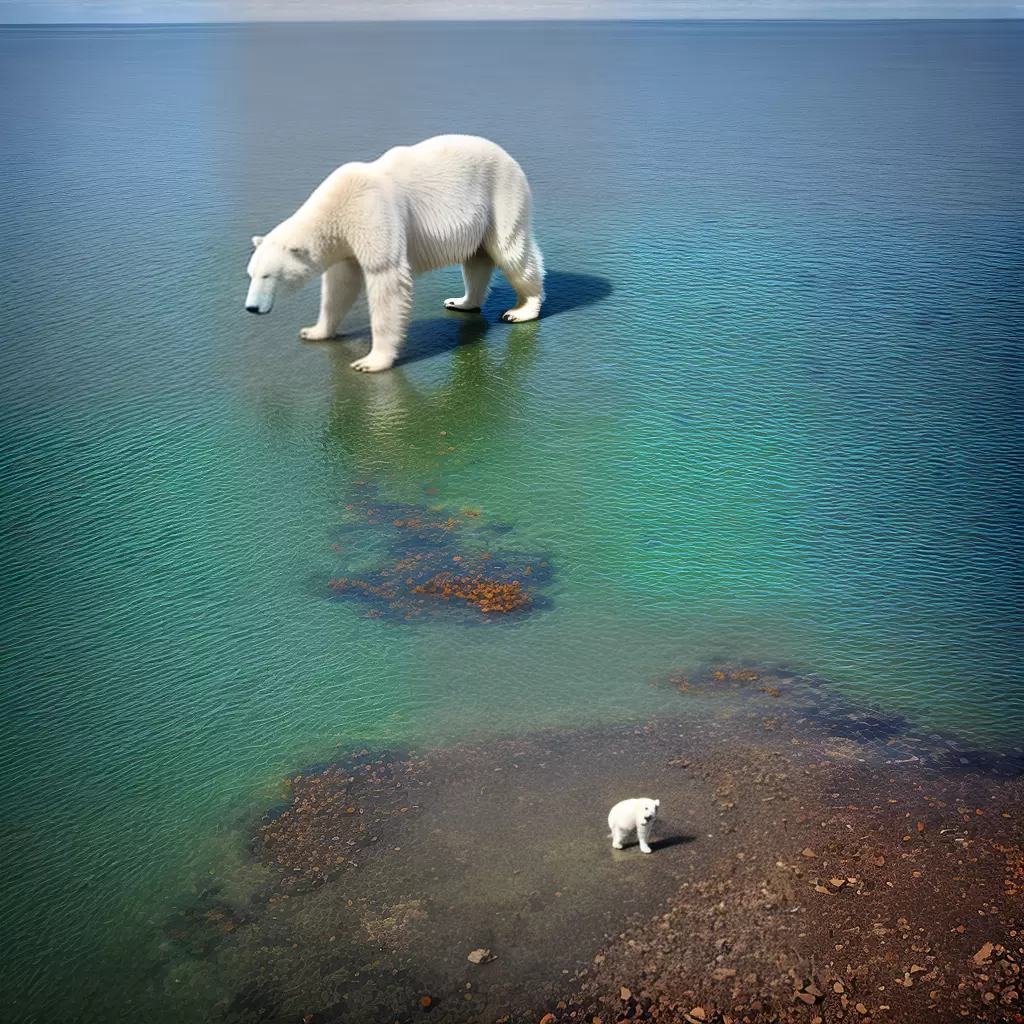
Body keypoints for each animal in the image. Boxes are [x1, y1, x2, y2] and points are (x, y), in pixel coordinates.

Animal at [245, 134, 545, 373]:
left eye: (268, 276)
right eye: (251, 275)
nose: (252, 308)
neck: (336, 209)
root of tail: (508, 156)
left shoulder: (372, 214)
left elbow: (386, 280)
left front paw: (370, 361)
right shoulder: (346, 242)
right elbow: (339, 286)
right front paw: (315, 331)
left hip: (502, 196)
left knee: (511, 251)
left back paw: (522, 310)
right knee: (475, 259)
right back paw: (462, 301)